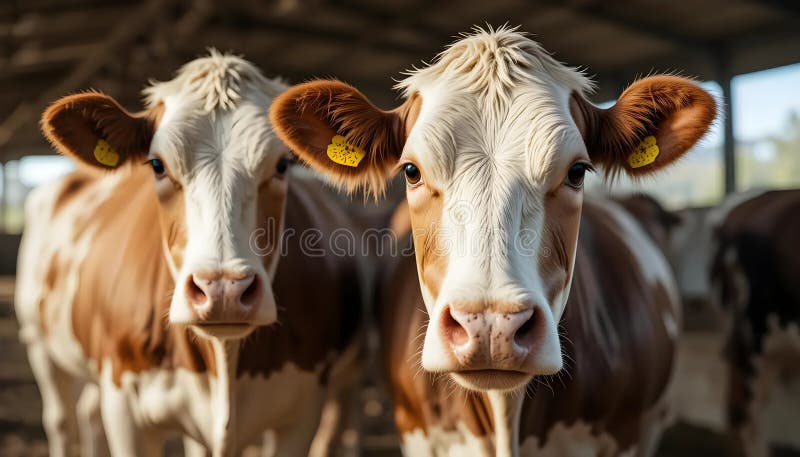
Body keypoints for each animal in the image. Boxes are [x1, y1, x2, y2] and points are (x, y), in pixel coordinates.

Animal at [14, 52, 364, 457]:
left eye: (282, 164)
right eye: (157, 165)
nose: (223, 291)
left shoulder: (301, 410)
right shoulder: (124, 406)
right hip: (38, 340)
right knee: (61, 421)